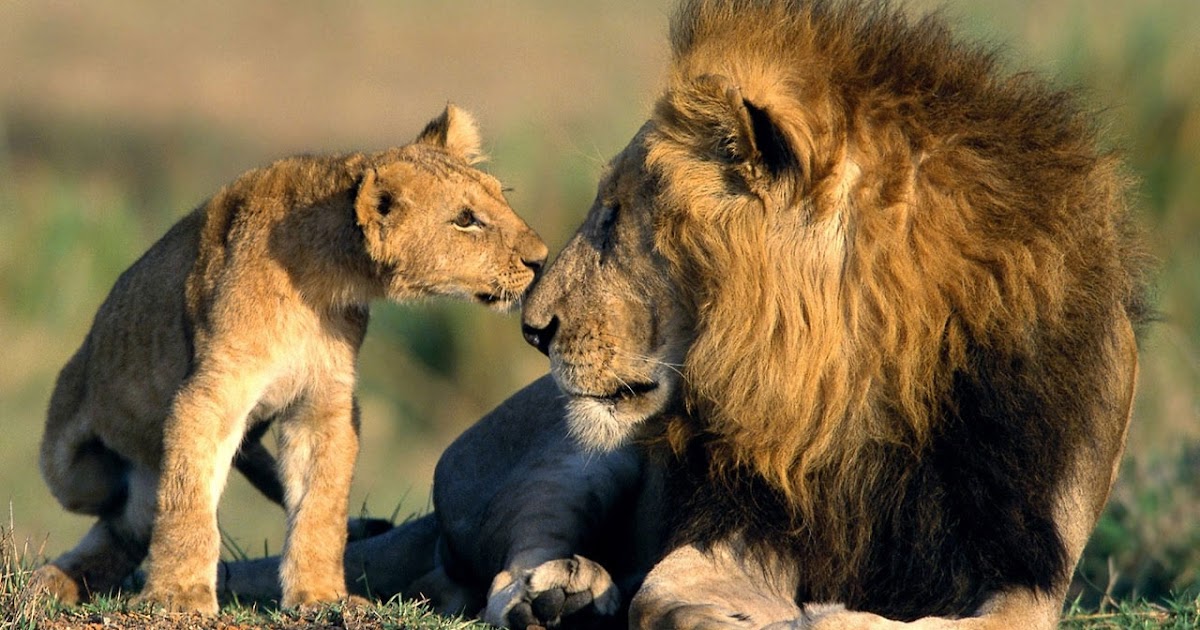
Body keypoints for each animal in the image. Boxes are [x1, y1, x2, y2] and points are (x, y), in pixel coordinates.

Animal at [29, 104, 548, 614]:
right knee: (120, 511)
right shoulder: (209, 395)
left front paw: (319, 595)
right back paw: (52, 580)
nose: (542, 259)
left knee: (131, 525)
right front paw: (179, 594)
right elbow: (187, 500)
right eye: (465, 220)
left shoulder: (323, 403)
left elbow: (320, 506)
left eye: (501, 198)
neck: (323, 280)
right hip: (71, 469)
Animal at [221, 2, 1152, 627]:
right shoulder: (733, 523)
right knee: (514, 557)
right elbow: (669, 594)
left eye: (616, 218)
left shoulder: (1029, 564)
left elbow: (984, 617)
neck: (863, 386)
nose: (532, 328)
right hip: (568, 449)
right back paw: (562, 595)